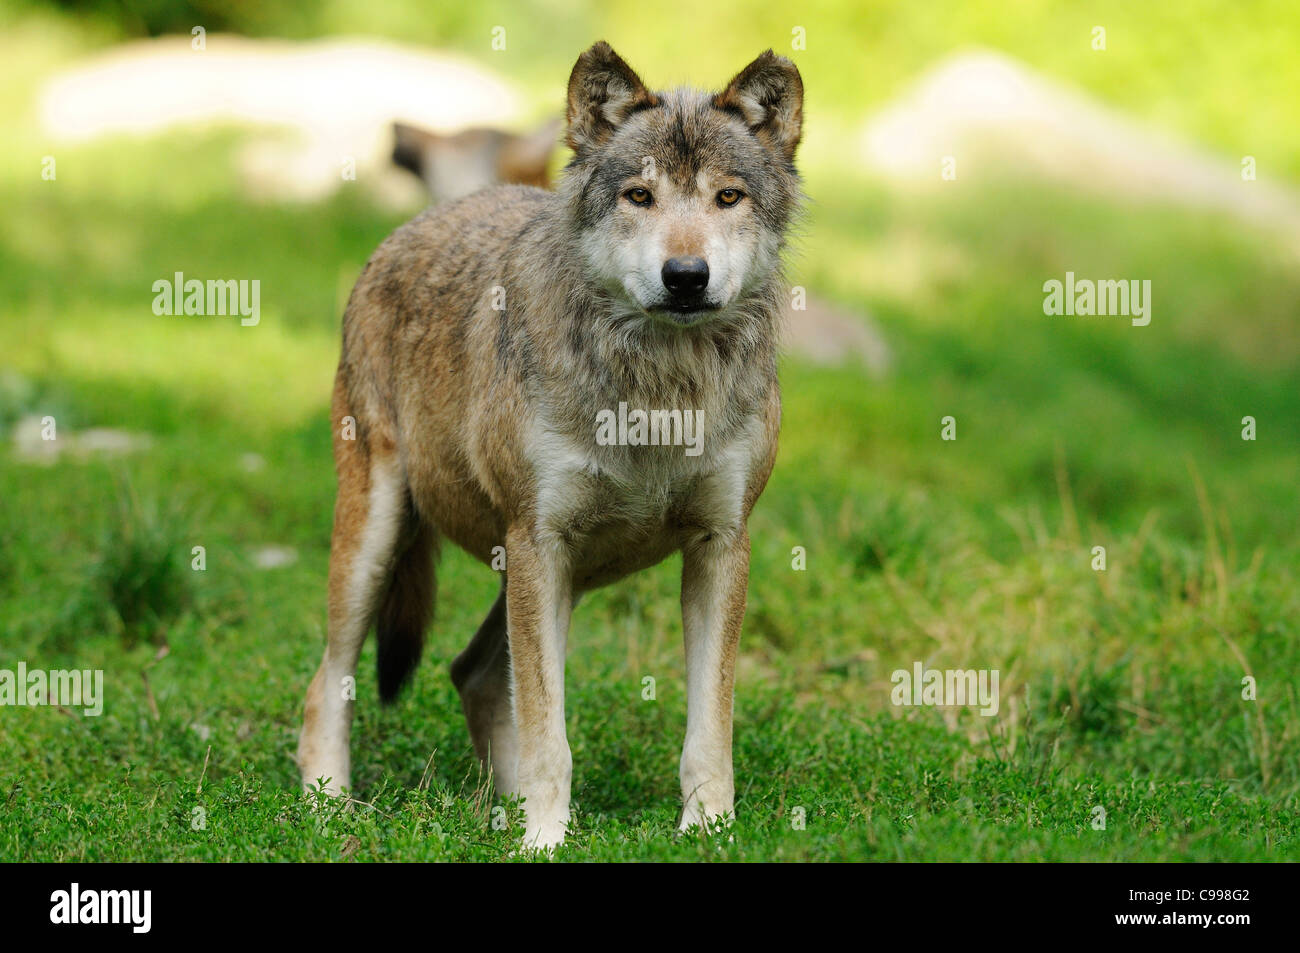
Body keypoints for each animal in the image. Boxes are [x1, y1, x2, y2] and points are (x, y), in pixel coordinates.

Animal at [296, 41, 804, 849]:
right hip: (385, 543)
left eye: (728, 198)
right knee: (328, 681)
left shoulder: (721, 545)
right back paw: (330, 808)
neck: (659, 396)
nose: (685, 277)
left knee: (472, 673)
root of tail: (428, 215)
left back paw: (495, 811)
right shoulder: (541, 541)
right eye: (638, 196)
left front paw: (708, 832)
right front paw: (543, 842)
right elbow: (548, 730)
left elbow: (708, 730)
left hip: (552, 577)